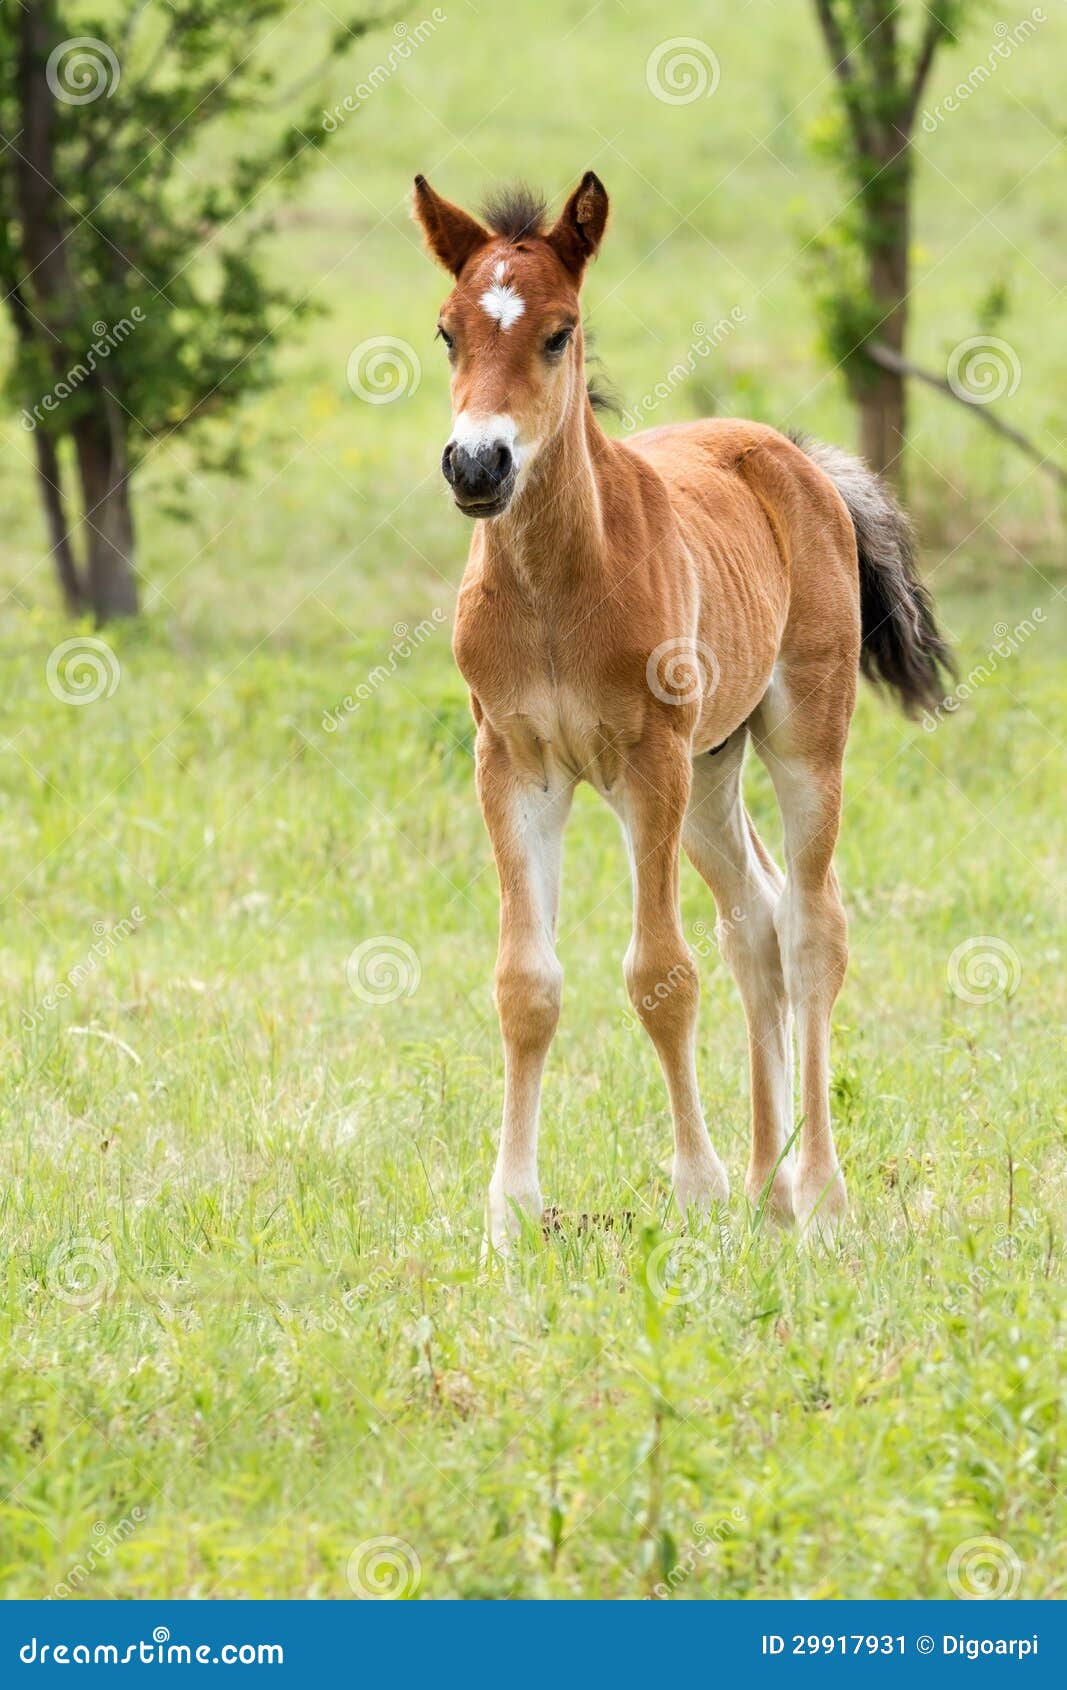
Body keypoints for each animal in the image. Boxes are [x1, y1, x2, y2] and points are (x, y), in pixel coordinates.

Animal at [412, 171, 952, 1247]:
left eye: (559, 333)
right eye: (448, 332)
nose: (477, 467)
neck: (554, 590)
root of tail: (796, 456)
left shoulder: (646, 760)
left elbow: (659, 973)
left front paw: (694, 1188)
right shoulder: (514, 765)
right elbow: (525, 983)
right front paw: (510, 1209)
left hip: (796, 740)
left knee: (812, 926)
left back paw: (818, 1194)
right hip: (710, 772)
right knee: (755, 927)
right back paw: (768, 1189)